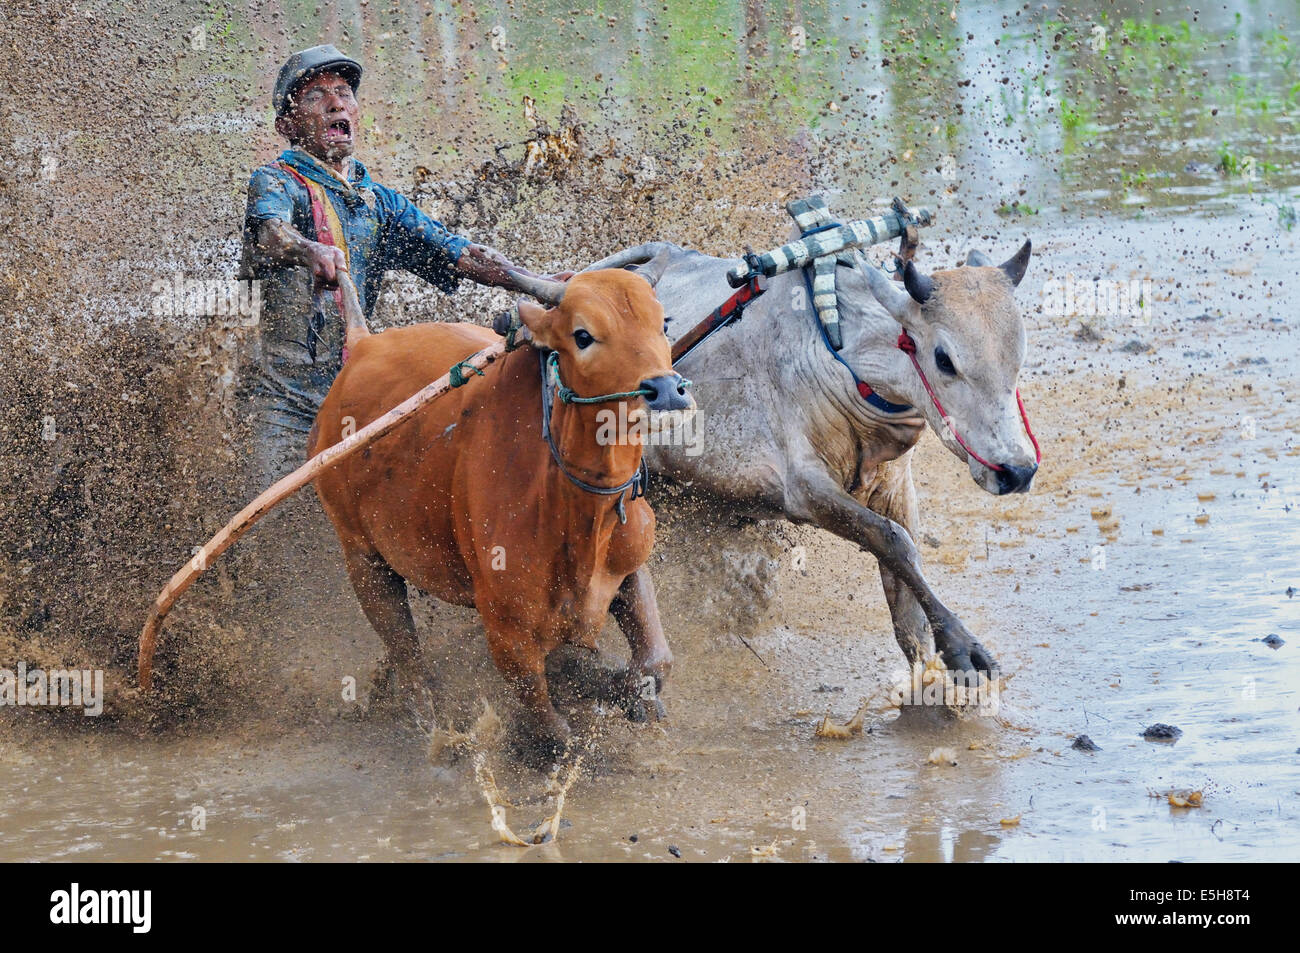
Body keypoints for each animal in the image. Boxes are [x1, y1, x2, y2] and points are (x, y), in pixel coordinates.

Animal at [308, 268, 694, 759]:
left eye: (662, 323)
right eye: (582, 335)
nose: (666, 391)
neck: (576, 514)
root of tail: (362, 345)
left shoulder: (630, 567)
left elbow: (655, 663)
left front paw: (629, 694)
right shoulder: (505, 626)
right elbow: (553, 730)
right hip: (361, 554)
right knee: (405, 651)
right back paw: (427, 721)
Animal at [582, 232, 1038, 682]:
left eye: (1018, 356)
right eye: (944, 359)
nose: (1017, 471)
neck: (844, 357)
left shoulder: (895, 487)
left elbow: (907, 596)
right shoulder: (804, 490)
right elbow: (893, 541)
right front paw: (963, 646)